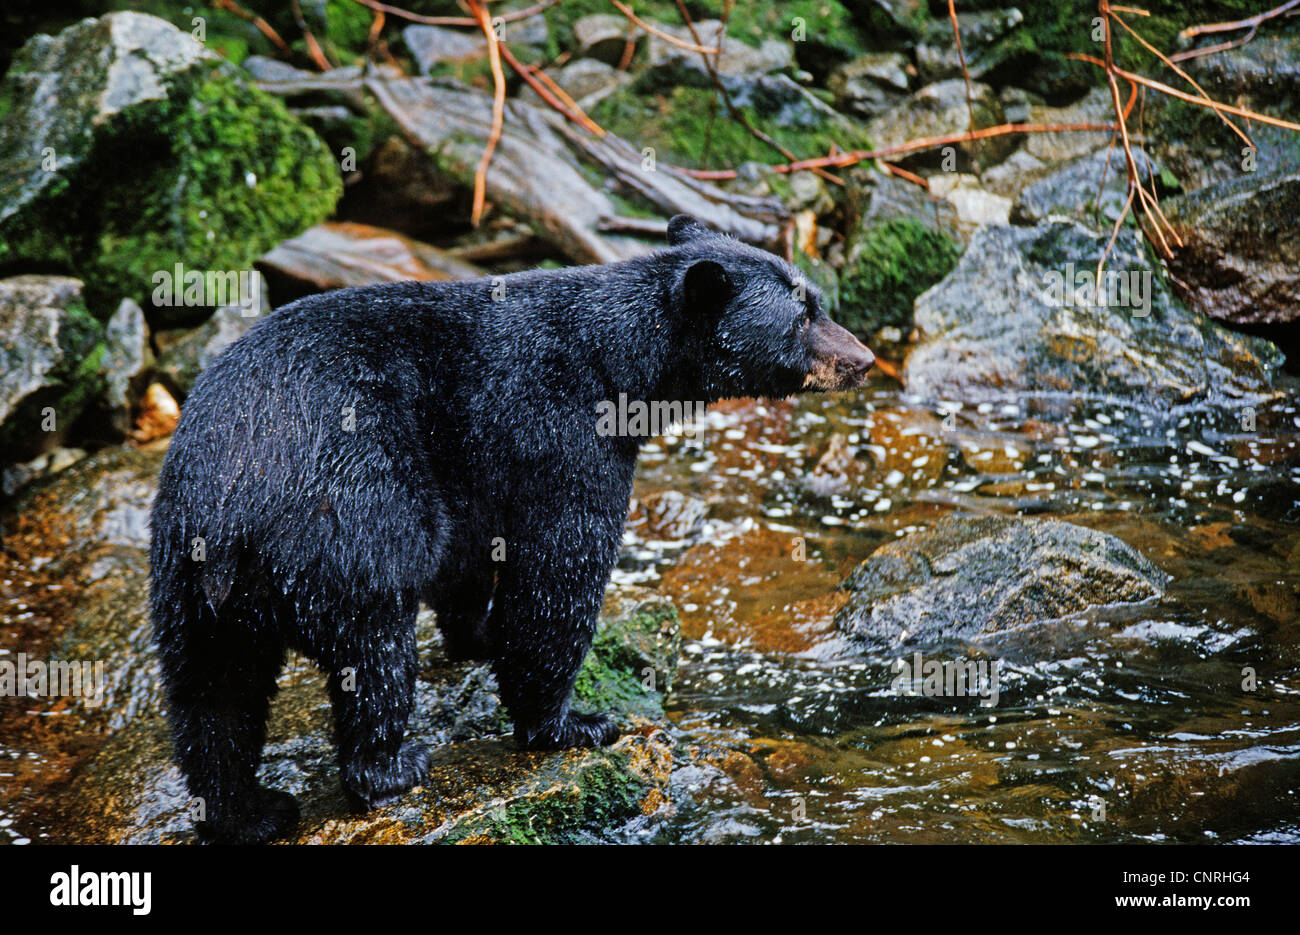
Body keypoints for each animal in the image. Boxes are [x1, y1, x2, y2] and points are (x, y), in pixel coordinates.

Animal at [149, 214, 874, 843]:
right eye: (802, 315)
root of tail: (231, 503)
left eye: (816, 299)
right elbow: (557, 576)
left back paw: (246, 810)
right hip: (350, 511)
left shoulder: (471, 471)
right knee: (373, 649)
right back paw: (390, 766)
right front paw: (573, 723)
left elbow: (470, 552)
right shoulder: (563, 433)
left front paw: (476, 636)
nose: (865, 359)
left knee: (210, 697)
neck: (617, 363)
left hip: (184, 566)